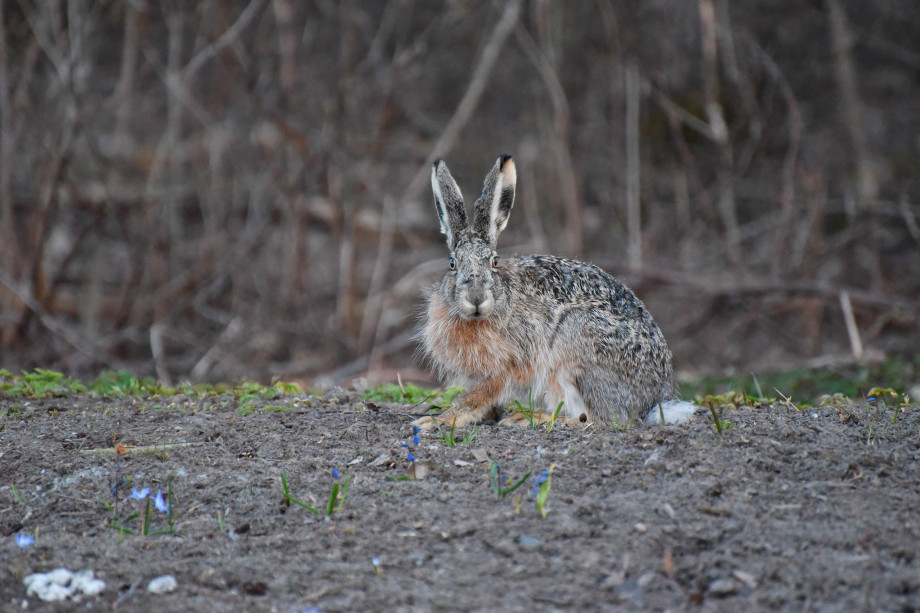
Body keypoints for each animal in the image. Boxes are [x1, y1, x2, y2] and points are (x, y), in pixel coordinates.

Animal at [412, 155, 695, 431]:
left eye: (494, 261)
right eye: (452, 264)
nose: (476, 299)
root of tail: (652, 401)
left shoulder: (508, 365)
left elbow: (476, 397)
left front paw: (439, 420)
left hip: (574, 344)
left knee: (601, 419)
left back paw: (531, 417)